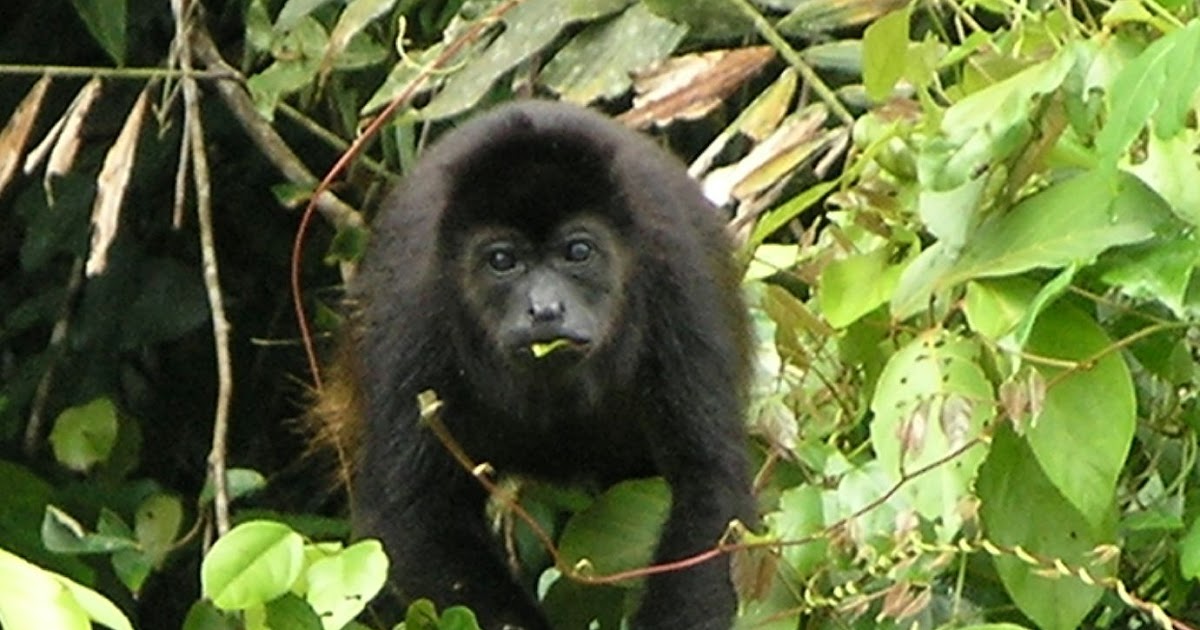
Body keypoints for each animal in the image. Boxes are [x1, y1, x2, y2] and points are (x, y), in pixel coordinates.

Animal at [319, 100, 754, 630]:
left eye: (578, 252)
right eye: (502, 260)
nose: (545, 309)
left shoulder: (677, 274)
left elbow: (710, 480)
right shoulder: (412, 304)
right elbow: (412, 509)